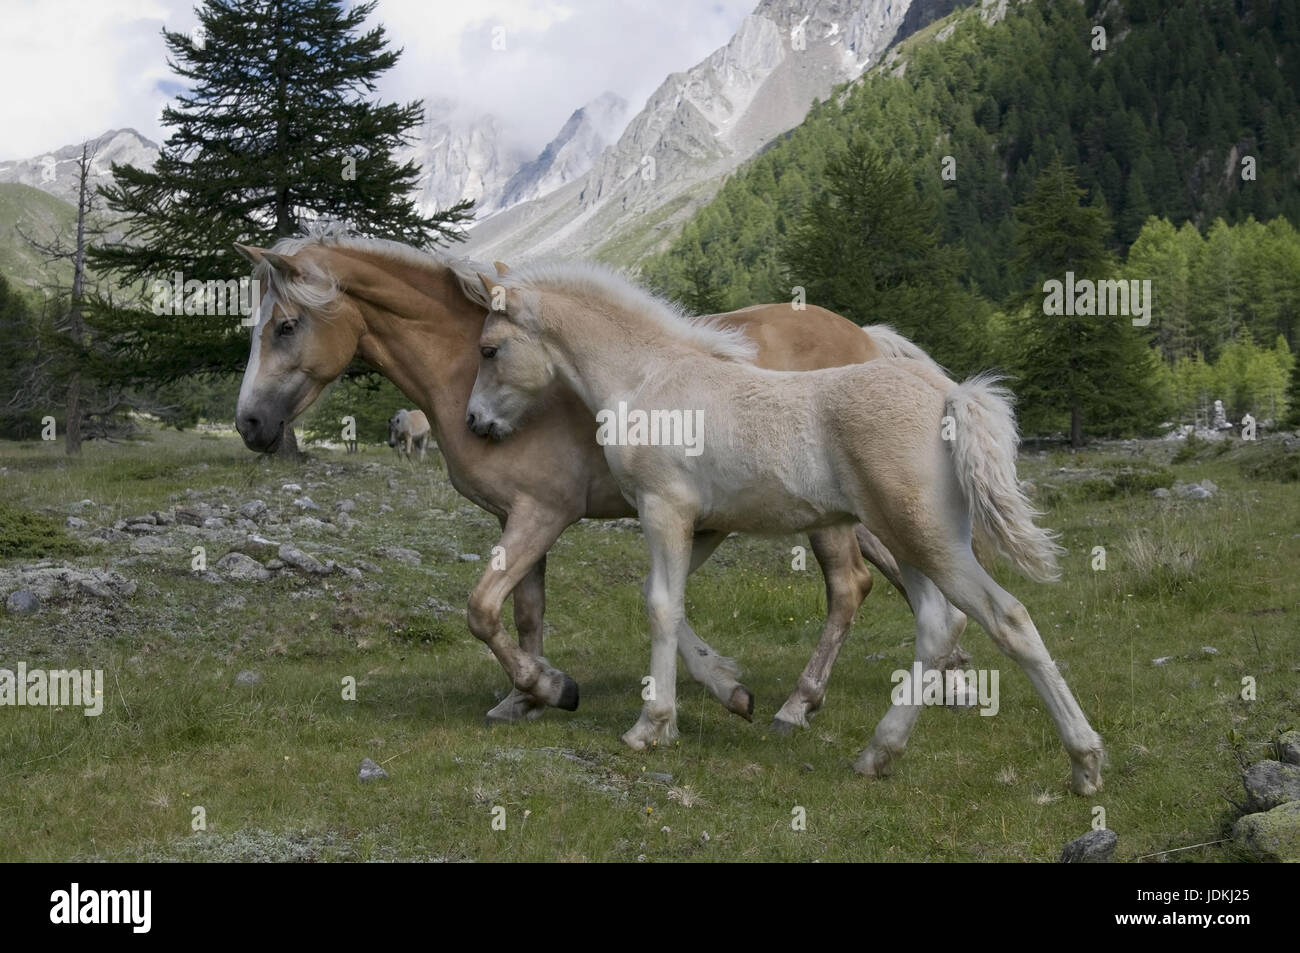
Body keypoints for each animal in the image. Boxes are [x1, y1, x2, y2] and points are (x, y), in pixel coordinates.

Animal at [230, 227, 961, 733]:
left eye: (286, 326)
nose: (250, 423)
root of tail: (868, 340)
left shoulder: (543, 512)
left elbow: (482, 609)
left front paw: (554, 688)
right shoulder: (519, 518)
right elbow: (527, 611)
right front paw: (524, 697)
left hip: (831, 522)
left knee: (852, 587)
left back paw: (800, 704)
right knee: (910, 574)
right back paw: (947, 676)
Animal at [464, 263, 1104, 795]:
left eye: (489, 349)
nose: (475, 422)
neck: (648, 379)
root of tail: (948, 393)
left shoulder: (664, 508)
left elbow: (661, 606)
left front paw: (651, 726)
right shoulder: (705, 525)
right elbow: (669, 600)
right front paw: (726, 691)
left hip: (926, 538)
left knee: (1006, 617)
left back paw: (1085, 763)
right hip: (908, 540)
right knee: (938, 623)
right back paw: (877, 753)